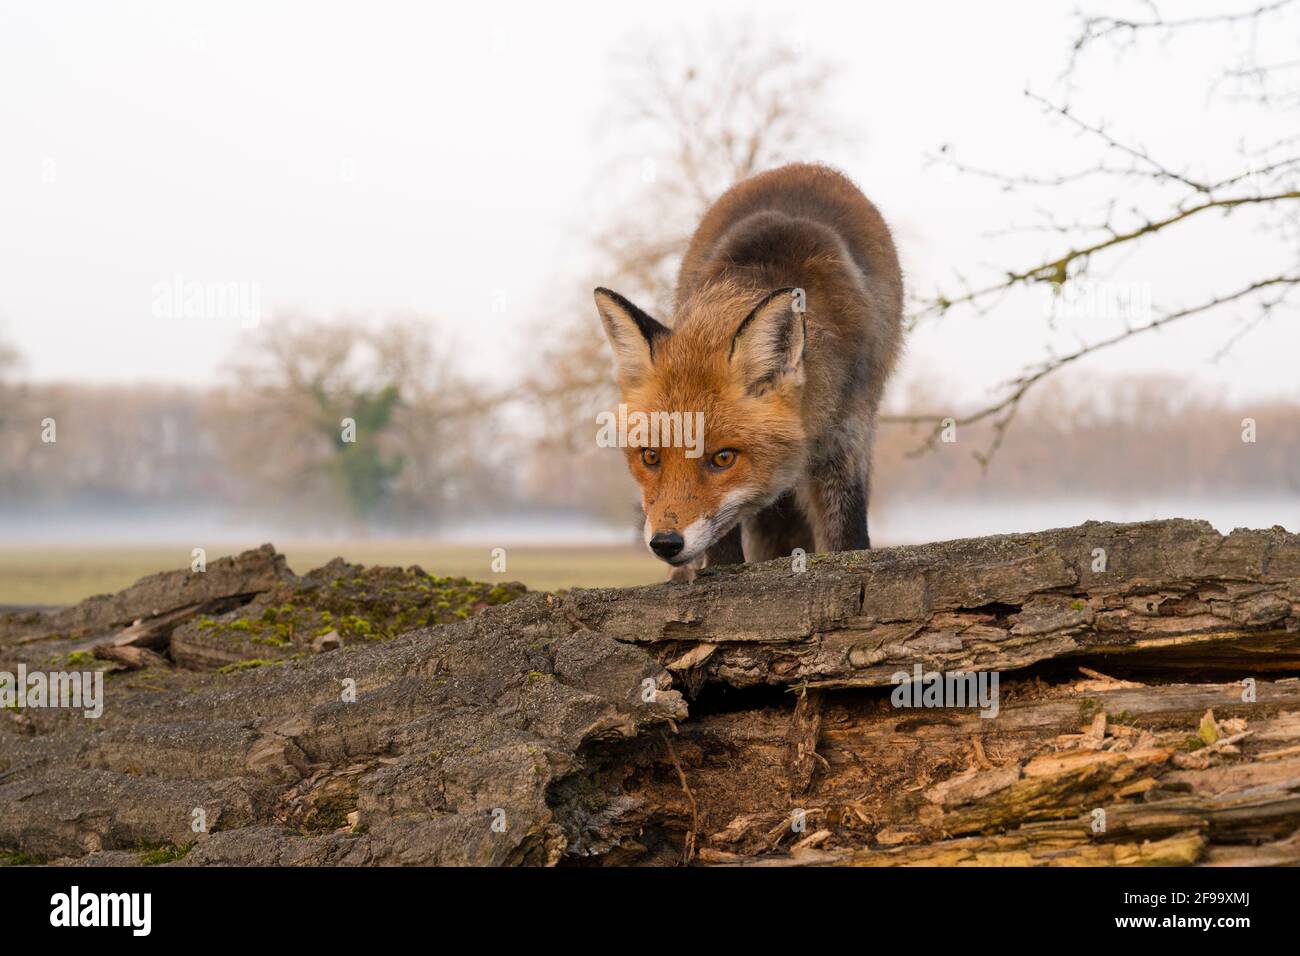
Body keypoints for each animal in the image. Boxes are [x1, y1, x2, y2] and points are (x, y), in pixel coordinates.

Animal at [594, 162, 903, 577]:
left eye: (723, 458)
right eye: (650, 457)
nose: (665, 543)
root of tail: (801, 166)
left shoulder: (845, 440)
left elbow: (847, 538)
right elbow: (721, 552)